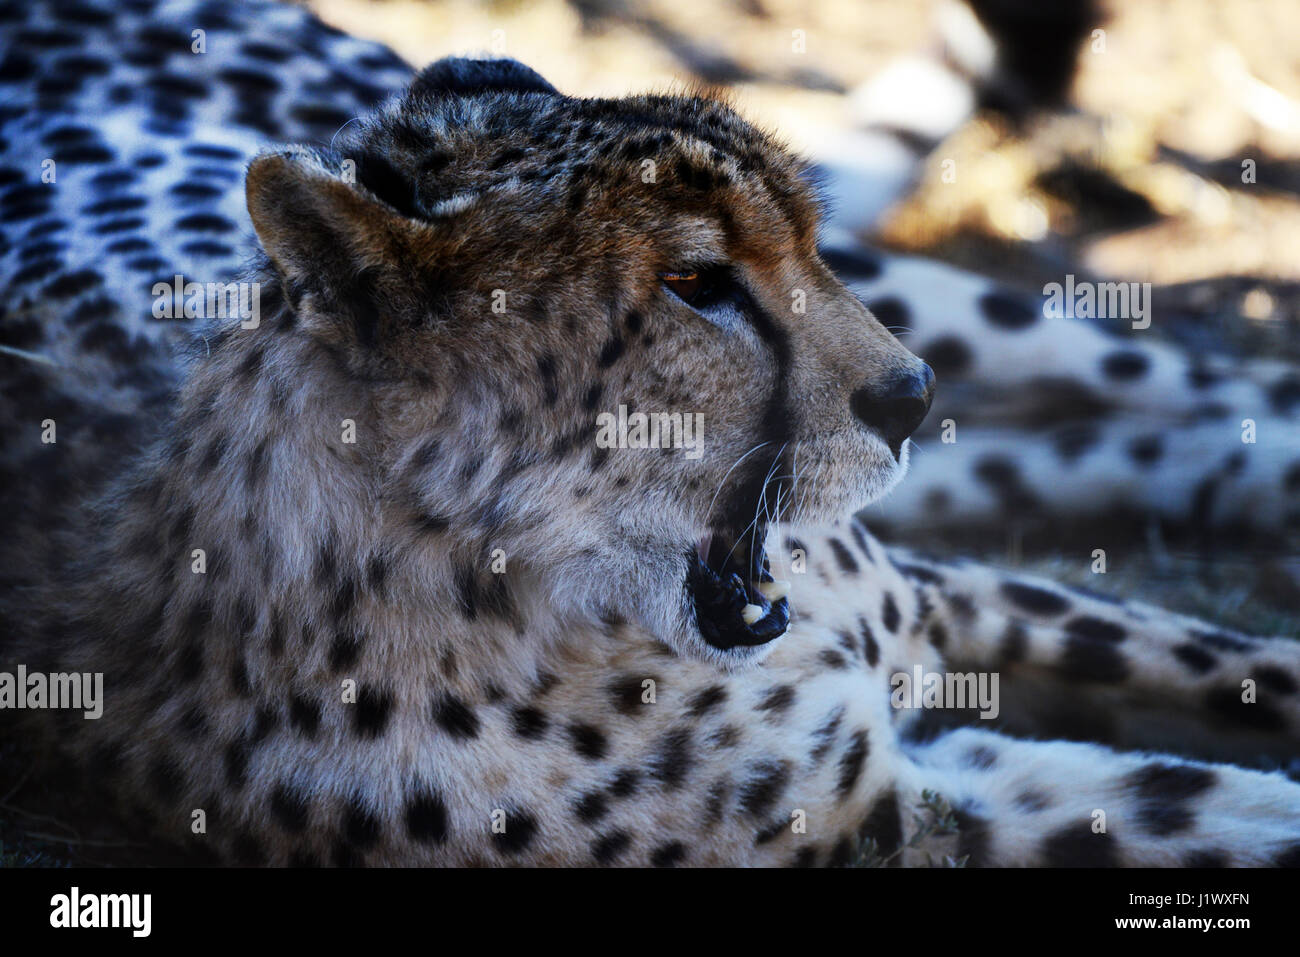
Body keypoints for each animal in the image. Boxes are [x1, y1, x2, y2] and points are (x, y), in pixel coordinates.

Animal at [1, 0, 1299, 868]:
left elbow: (1231, 666)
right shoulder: (915, 813)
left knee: (1174, 375)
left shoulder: (947, 609)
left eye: (801, 244)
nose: (907, 397)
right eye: (694, 284)